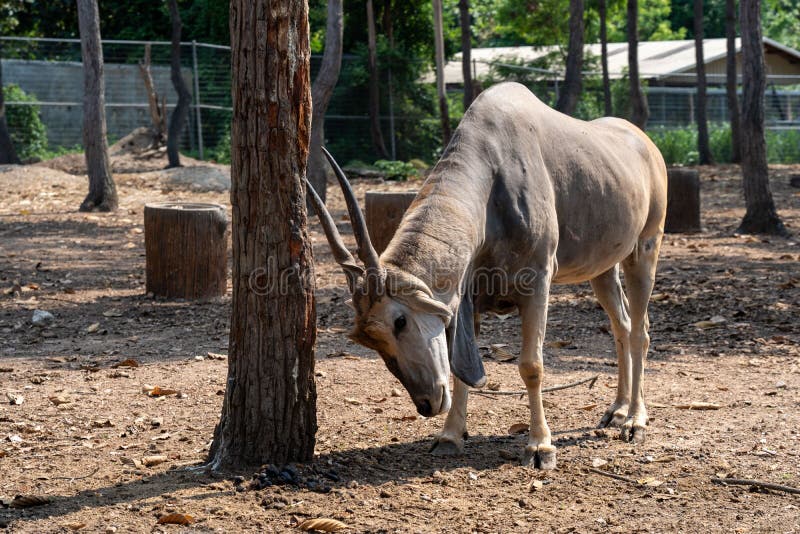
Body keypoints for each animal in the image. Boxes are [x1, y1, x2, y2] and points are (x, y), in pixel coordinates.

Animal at [307, 82, 667, 469]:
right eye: (367, 340)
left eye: (399, 321)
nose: (427, 404)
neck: (493, 174)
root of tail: (646, 145)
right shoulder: (470, 299)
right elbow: (458, 365)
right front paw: (449, 436)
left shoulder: (537, 283)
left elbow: (531, 365)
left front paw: (540, 446)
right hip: (603, 269)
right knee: (622, 326)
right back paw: (617, 410)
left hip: (645, 249)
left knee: (641, 331)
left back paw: (635, 420)